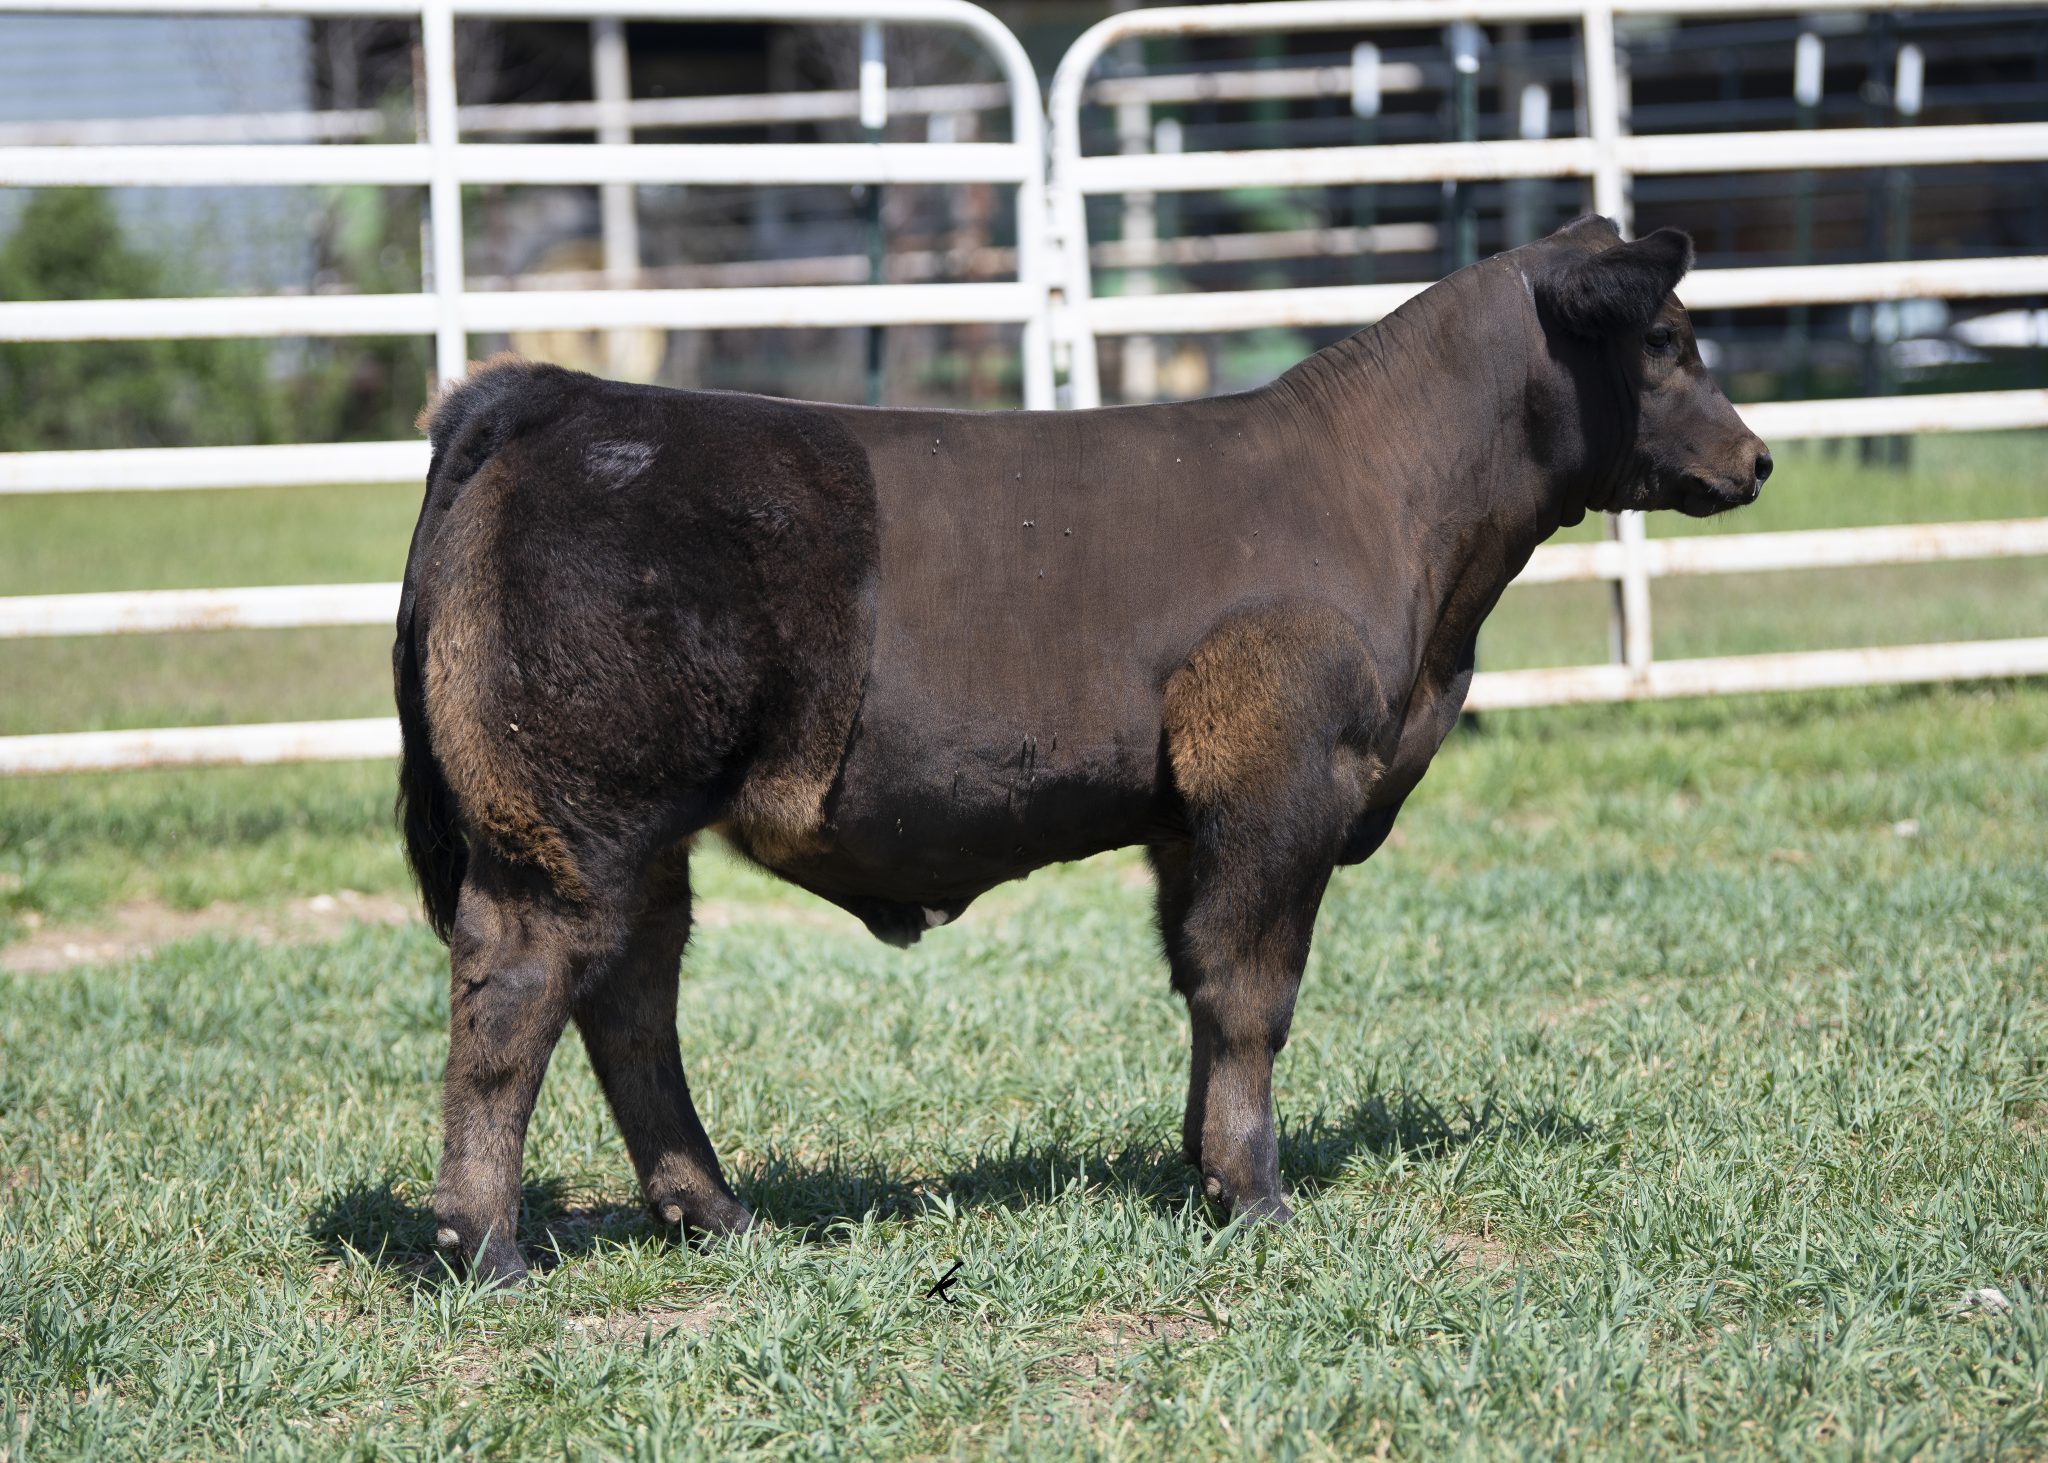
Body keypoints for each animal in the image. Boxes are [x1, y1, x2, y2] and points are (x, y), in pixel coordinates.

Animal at [394, 215, 1770, 1285]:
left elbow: (1199, 986)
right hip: (573, 818)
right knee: (519, 989)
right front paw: (1256, 1197)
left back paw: (714, 1213)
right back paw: (485, 1244)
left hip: (643, 834)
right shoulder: (1281, 781)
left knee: (632, 999)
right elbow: (1252, 988)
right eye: (1662, 341)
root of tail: (557, 392)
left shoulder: (1188, 819)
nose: (1755, 458)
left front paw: (1200, 1166)